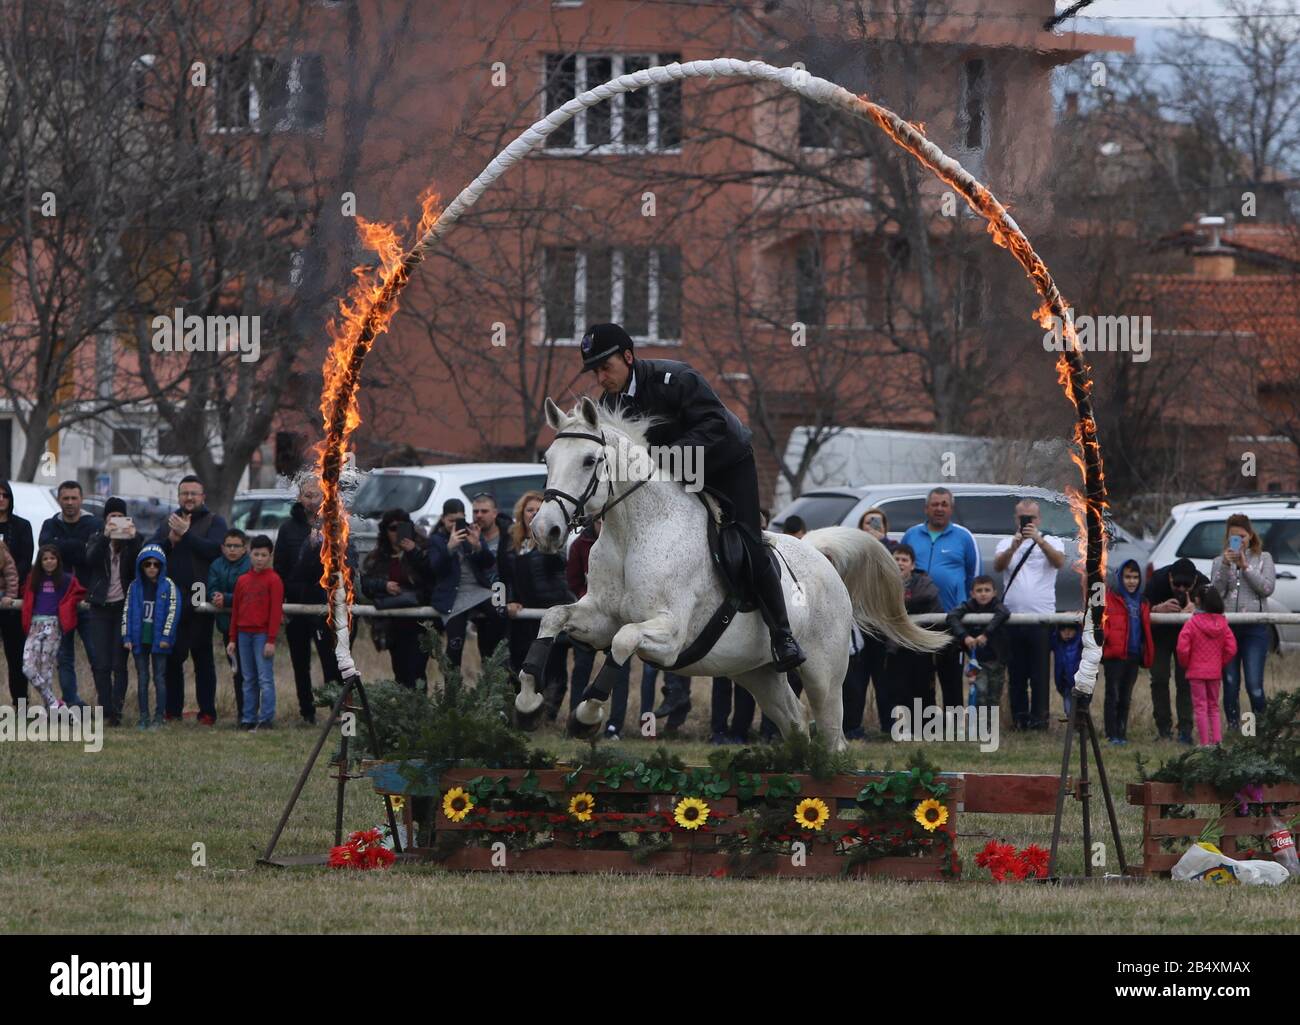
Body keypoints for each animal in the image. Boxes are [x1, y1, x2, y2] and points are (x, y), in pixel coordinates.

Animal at [516, 396, 949, 750]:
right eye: (548, 460)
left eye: (589, 461)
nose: (545, 530)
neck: (634, 533)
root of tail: (820, 554)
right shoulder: (600, 617)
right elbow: (555, 617)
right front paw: (527, 701)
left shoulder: (669, 635)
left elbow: (623, 642)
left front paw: (586, 717)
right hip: (758, 674)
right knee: (796, 724)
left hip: (824, 675)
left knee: (831, 738)